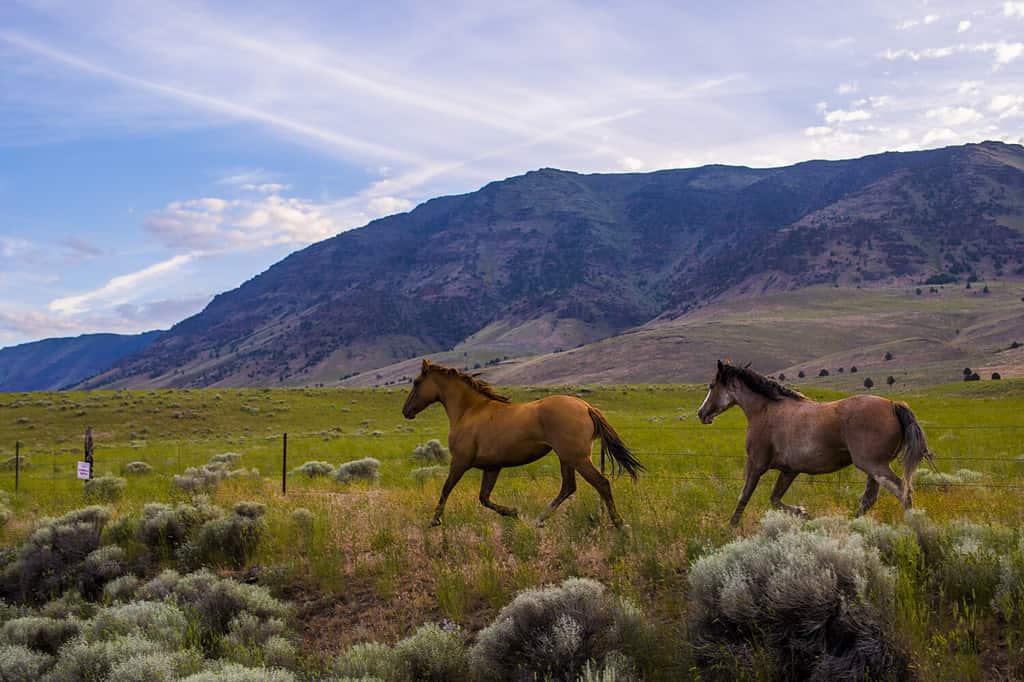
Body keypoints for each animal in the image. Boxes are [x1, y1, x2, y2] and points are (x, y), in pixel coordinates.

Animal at [401, 359, 644, 528]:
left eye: (416, 382)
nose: (406, 411)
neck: (469, 411)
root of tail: (586, 407)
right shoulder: (492, 467)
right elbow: (484, 498)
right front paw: (514, 513)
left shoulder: (460, 462)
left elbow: (447, 489)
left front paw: (434, 521)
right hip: (566, 458)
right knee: (568, 487)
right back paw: (539, 520)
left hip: (577, 458)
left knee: (601, 483)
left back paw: (619, 524)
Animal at [697, 360, 933, 525]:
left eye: (711, 385)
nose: (701, 413)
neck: (765, 410)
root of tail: (893, 405)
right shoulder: (790, 470)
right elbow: (775, 499)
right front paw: (804, 513)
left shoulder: (756, 464)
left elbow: (744, 496)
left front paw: (731, 527)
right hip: (873, 469)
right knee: (869, 500)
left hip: (874, 466)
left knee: (903, 490)